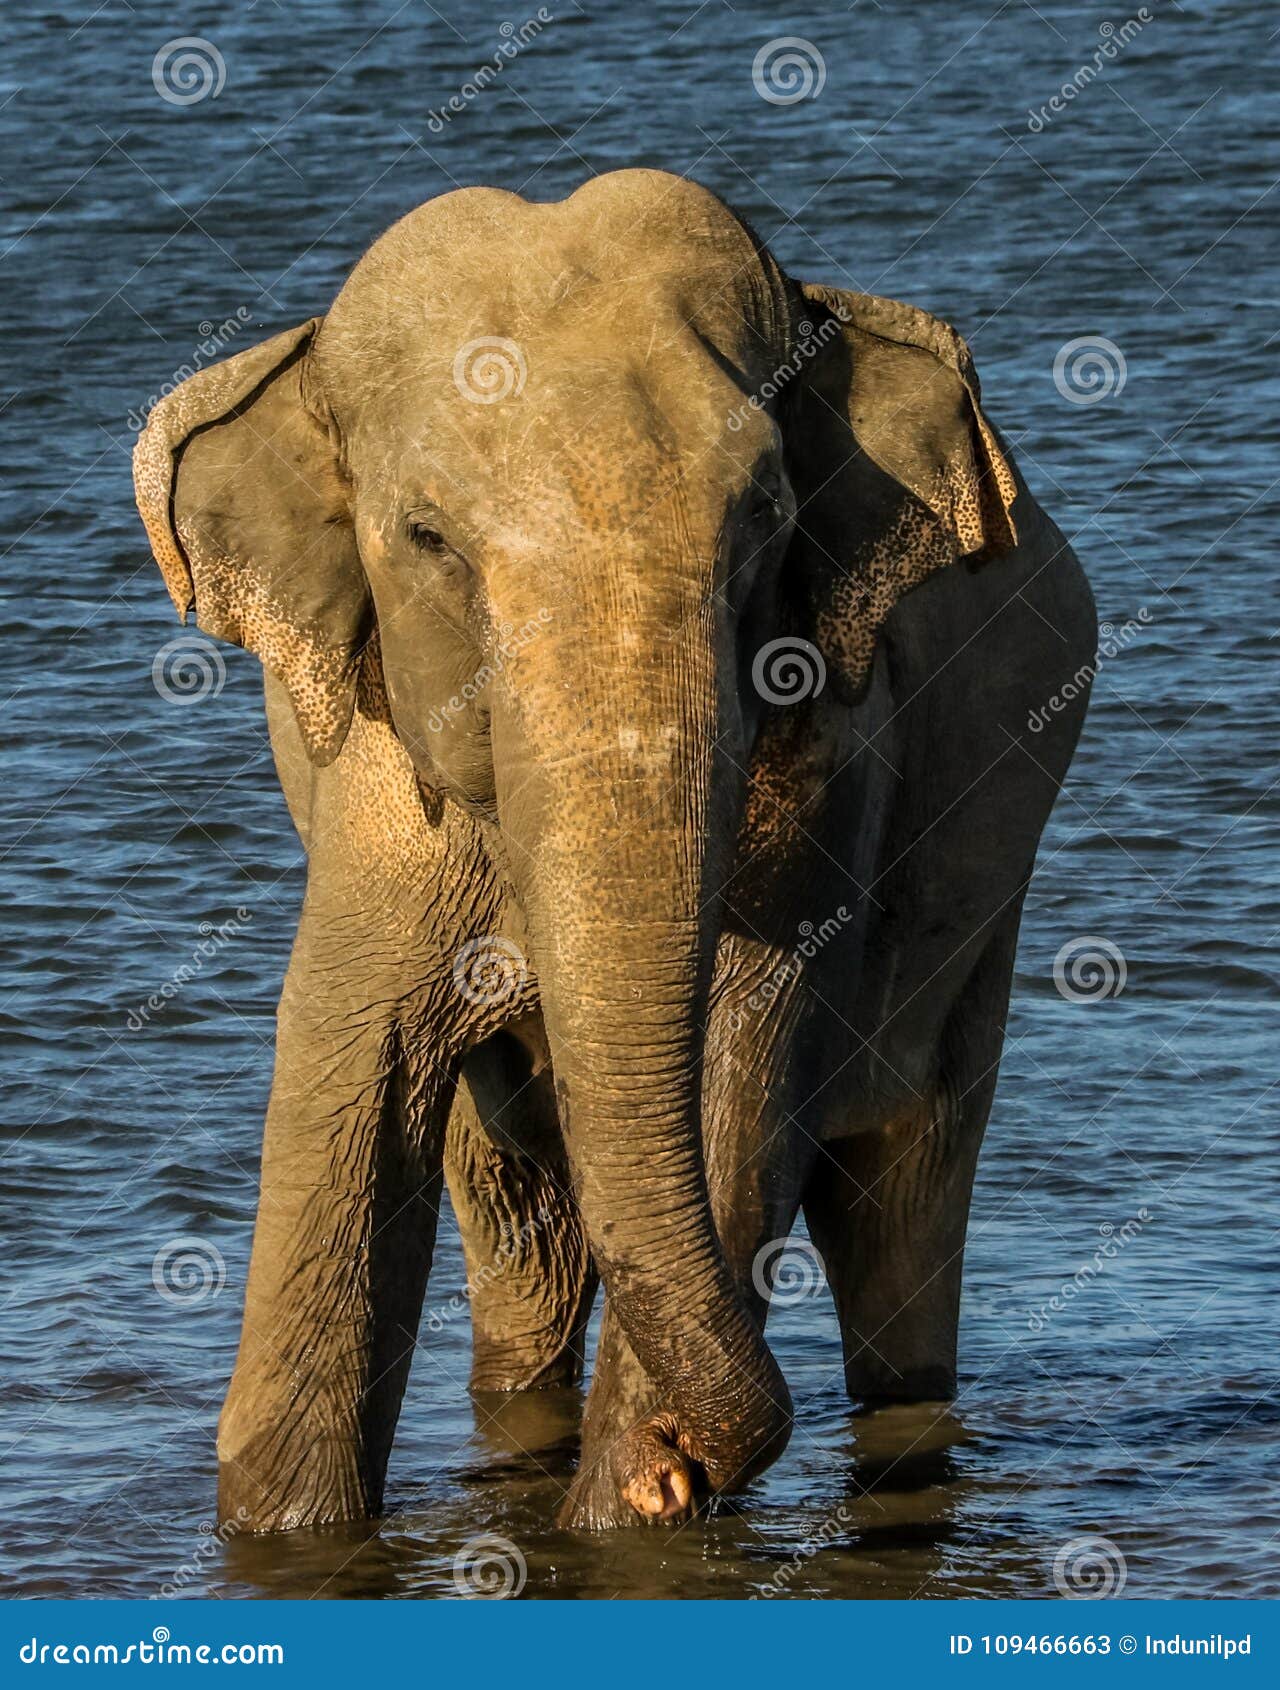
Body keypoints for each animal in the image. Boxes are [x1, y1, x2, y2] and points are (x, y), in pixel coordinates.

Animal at [132, 168, 1094, 1534]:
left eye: (764, 513)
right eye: (426, 538)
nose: (685, 1455)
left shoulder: (831, 774)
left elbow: (744, 1068)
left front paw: (628, 1513)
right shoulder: (371, 796)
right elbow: (345, 1073)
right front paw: (282, 1532)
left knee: (901, 1208)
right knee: (518, 1223)